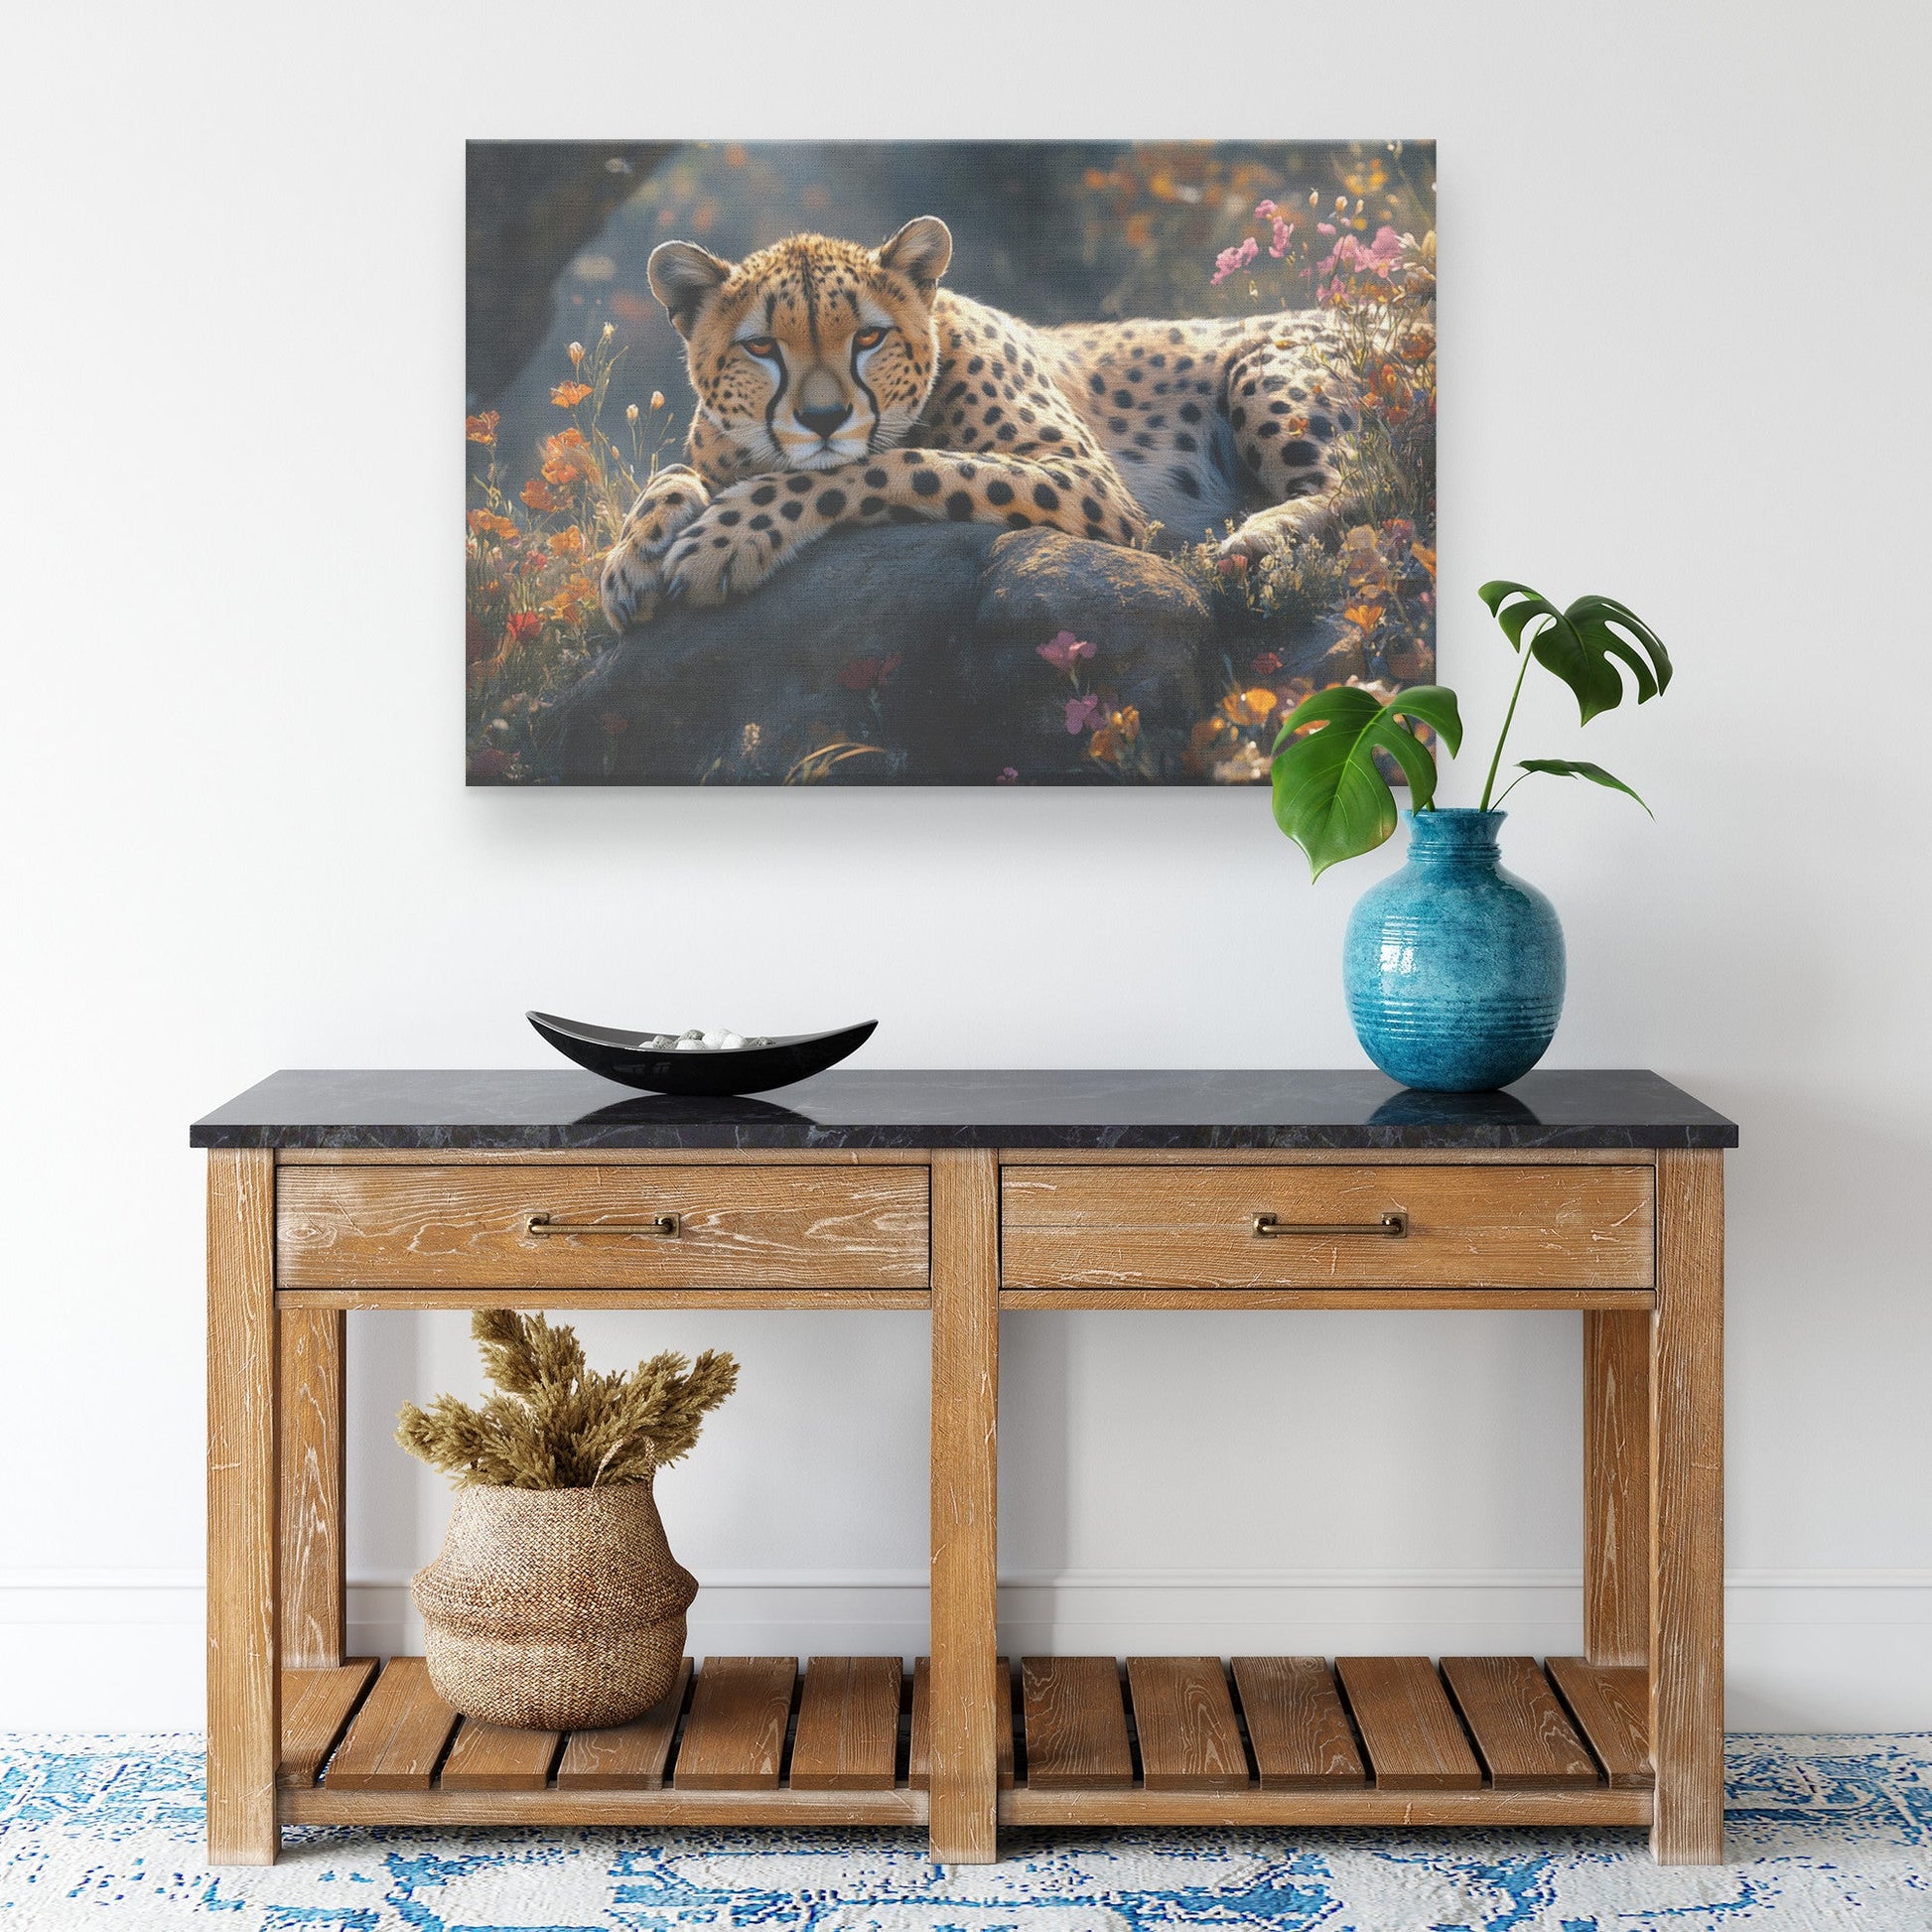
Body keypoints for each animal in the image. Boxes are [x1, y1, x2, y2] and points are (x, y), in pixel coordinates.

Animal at [599, 214, 1369, 632]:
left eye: (869, 337)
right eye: (761, 347)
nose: (822, 418)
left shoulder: (1089, 481)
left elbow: (887, 464)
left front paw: (725, 538)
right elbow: (673, 471)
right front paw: (630, 558)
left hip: (1263, 363)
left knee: (1364, 491)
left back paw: (1256, 536)